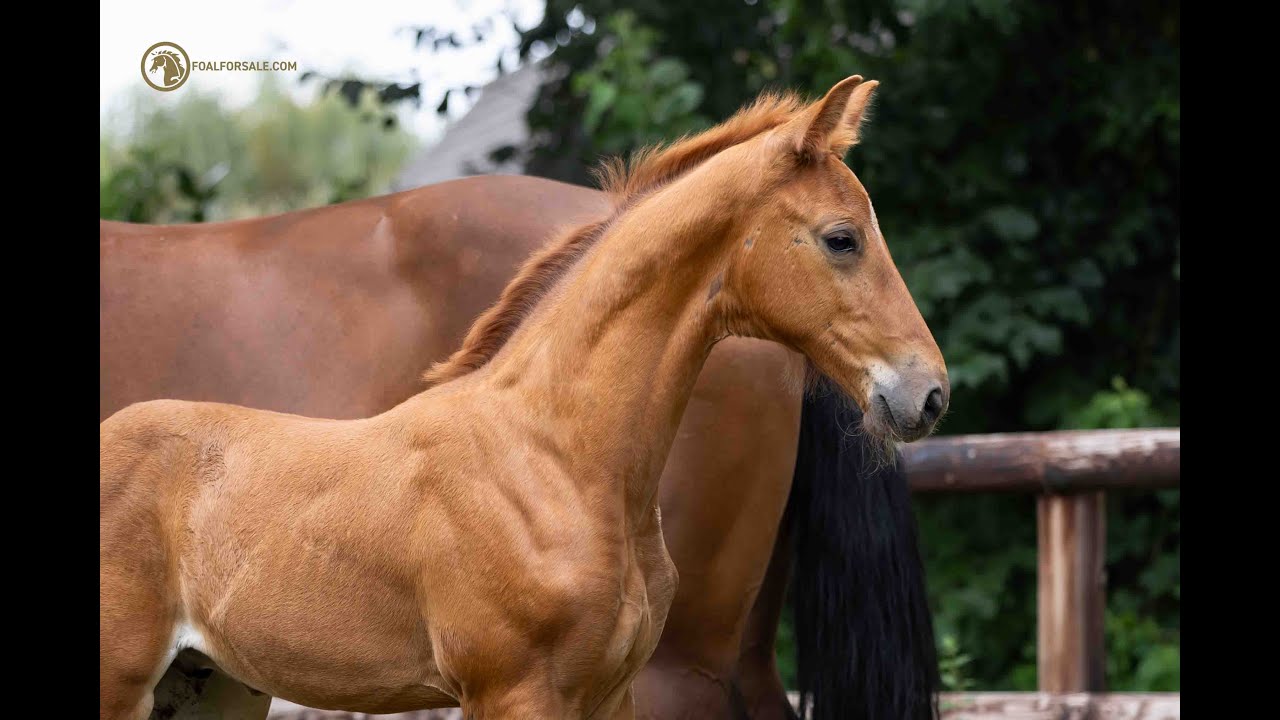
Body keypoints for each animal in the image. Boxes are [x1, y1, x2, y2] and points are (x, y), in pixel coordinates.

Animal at [100, 76, 945, 720]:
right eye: (842, 238)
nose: (929, 392)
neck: (551, 454)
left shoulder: (612, 693)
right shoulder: (513, 690)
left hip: (215, 687)